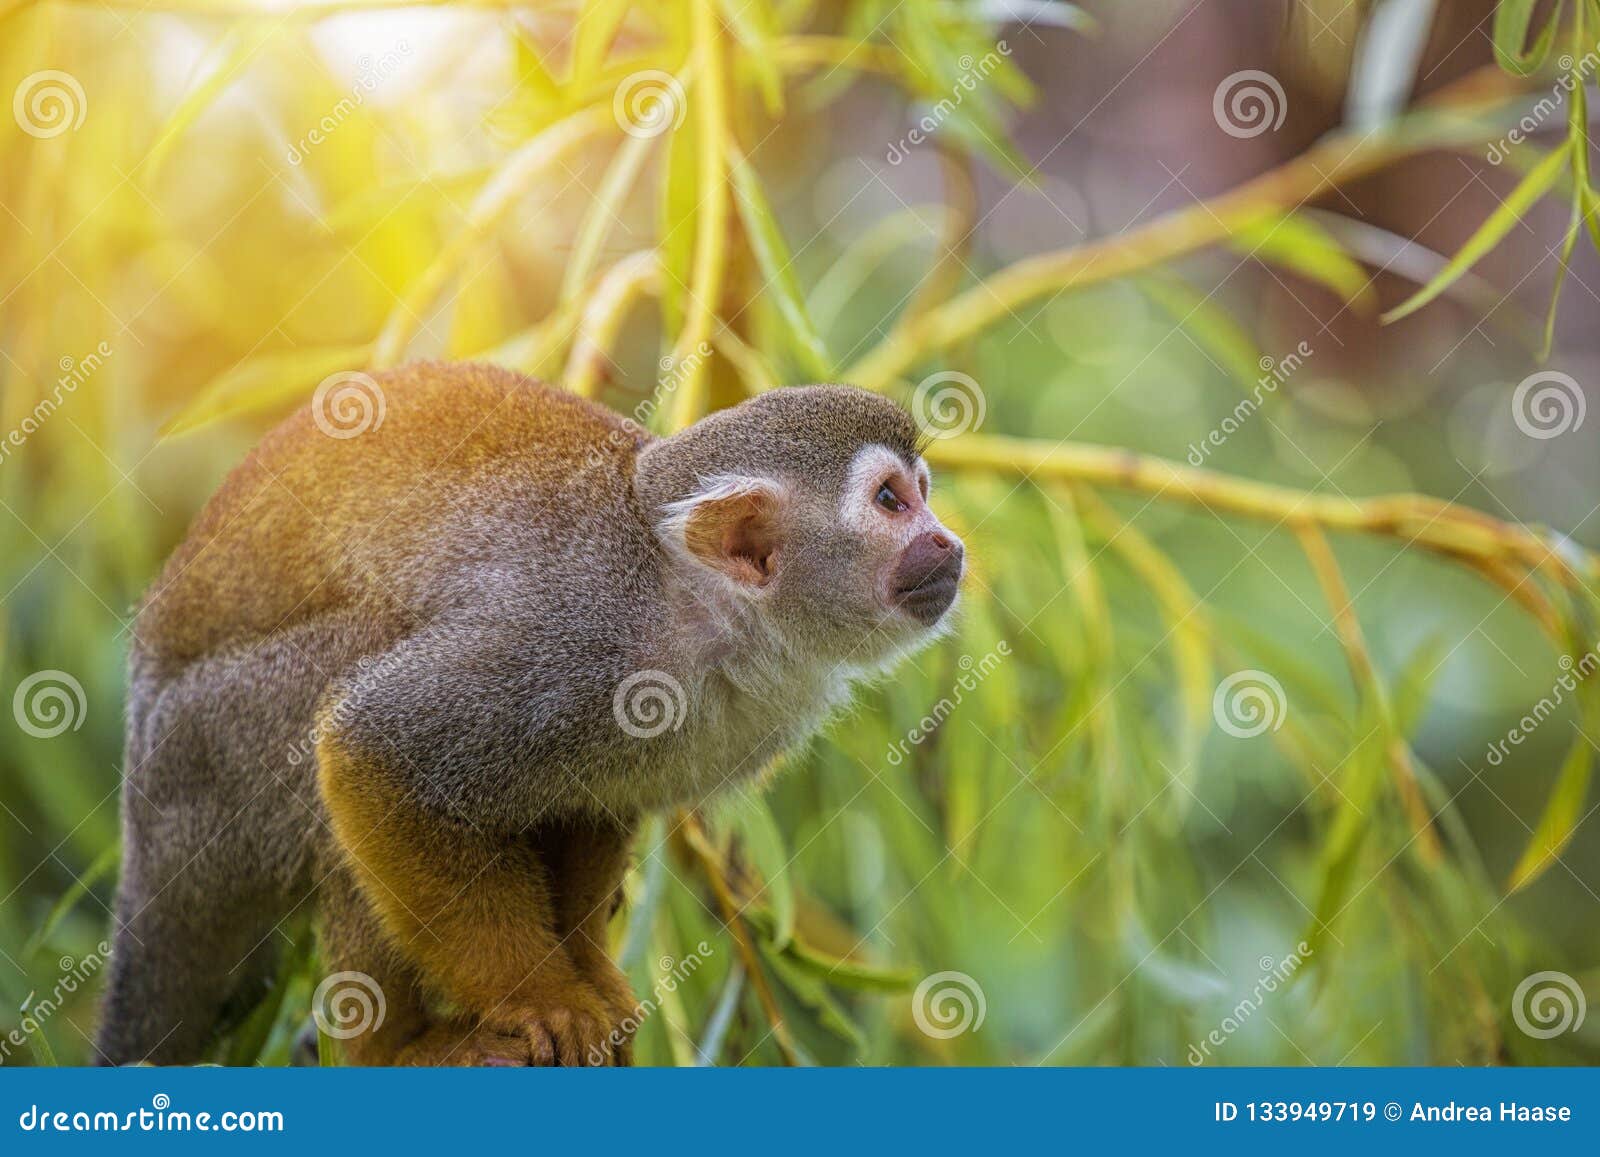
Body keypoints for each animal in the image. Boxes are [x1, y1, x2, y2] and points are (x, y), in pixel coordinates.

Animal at [96, 362, 965, 1066]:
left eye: (921, 494)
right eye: (891, 501)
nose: (950, 544)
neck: (700, 609)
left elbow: (586, 806)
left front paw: (592, 980)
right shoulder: (572, 640)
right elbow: (373, 747)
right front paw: (541, 997)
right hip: (210, 756)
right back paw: (389, 1051)